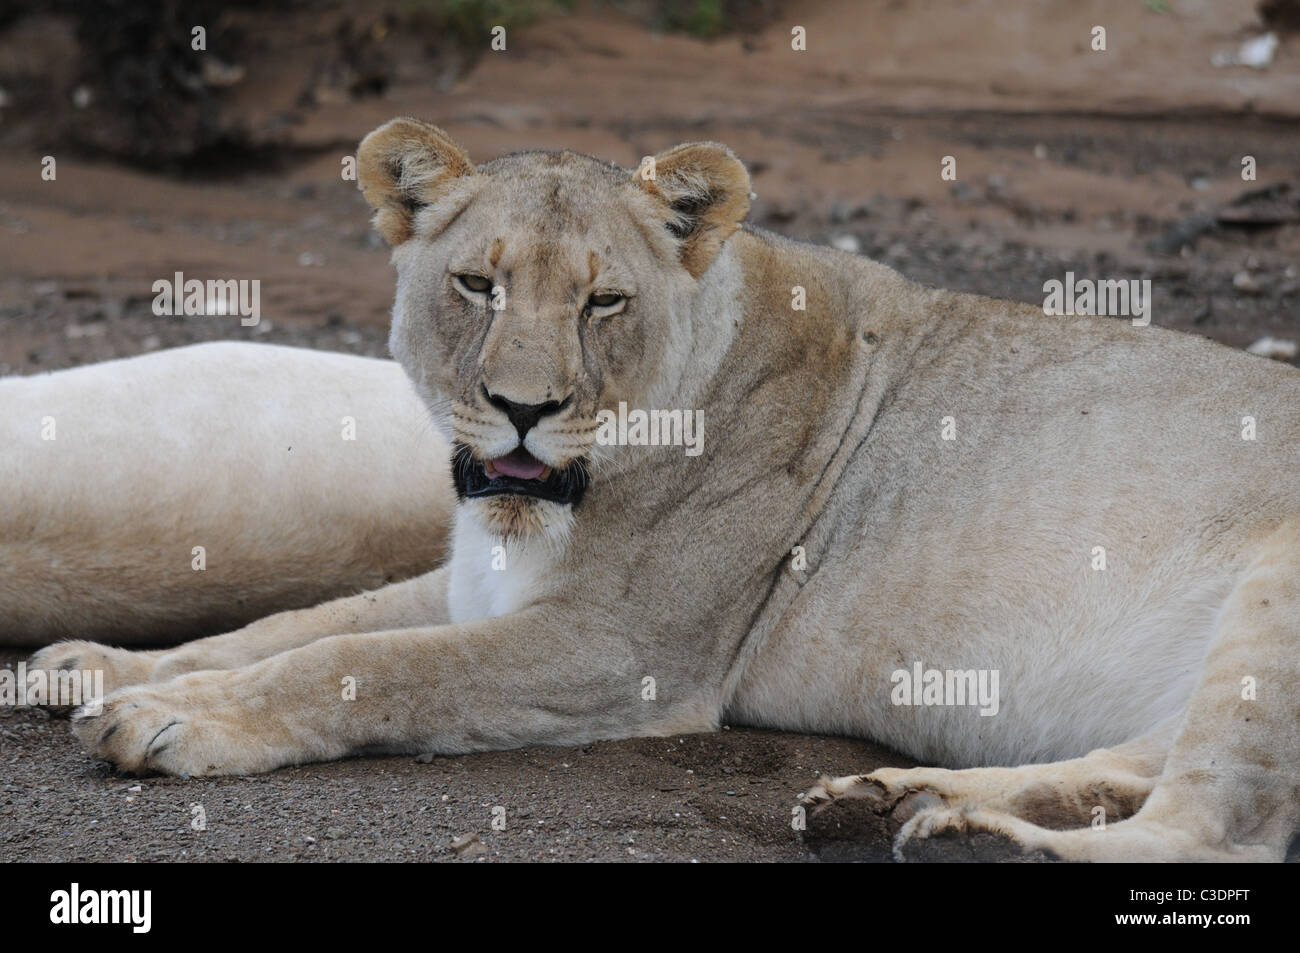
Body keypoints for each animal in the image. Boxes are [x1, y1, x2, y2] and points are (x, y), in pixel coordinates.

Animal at [20, 118, 1300, 862]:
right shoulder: (478, 583)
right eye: (478, 285)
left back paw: (978, 842)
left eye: (603, 302)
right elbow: (296, 621)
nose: (522, 407)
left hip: (1274, 598)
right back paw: (883, 802)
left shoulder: (619, 649)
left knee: (1215, 828)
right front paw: (99, 664)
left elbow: (362, 663)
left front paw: (179, 720)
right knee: (1140, 768)